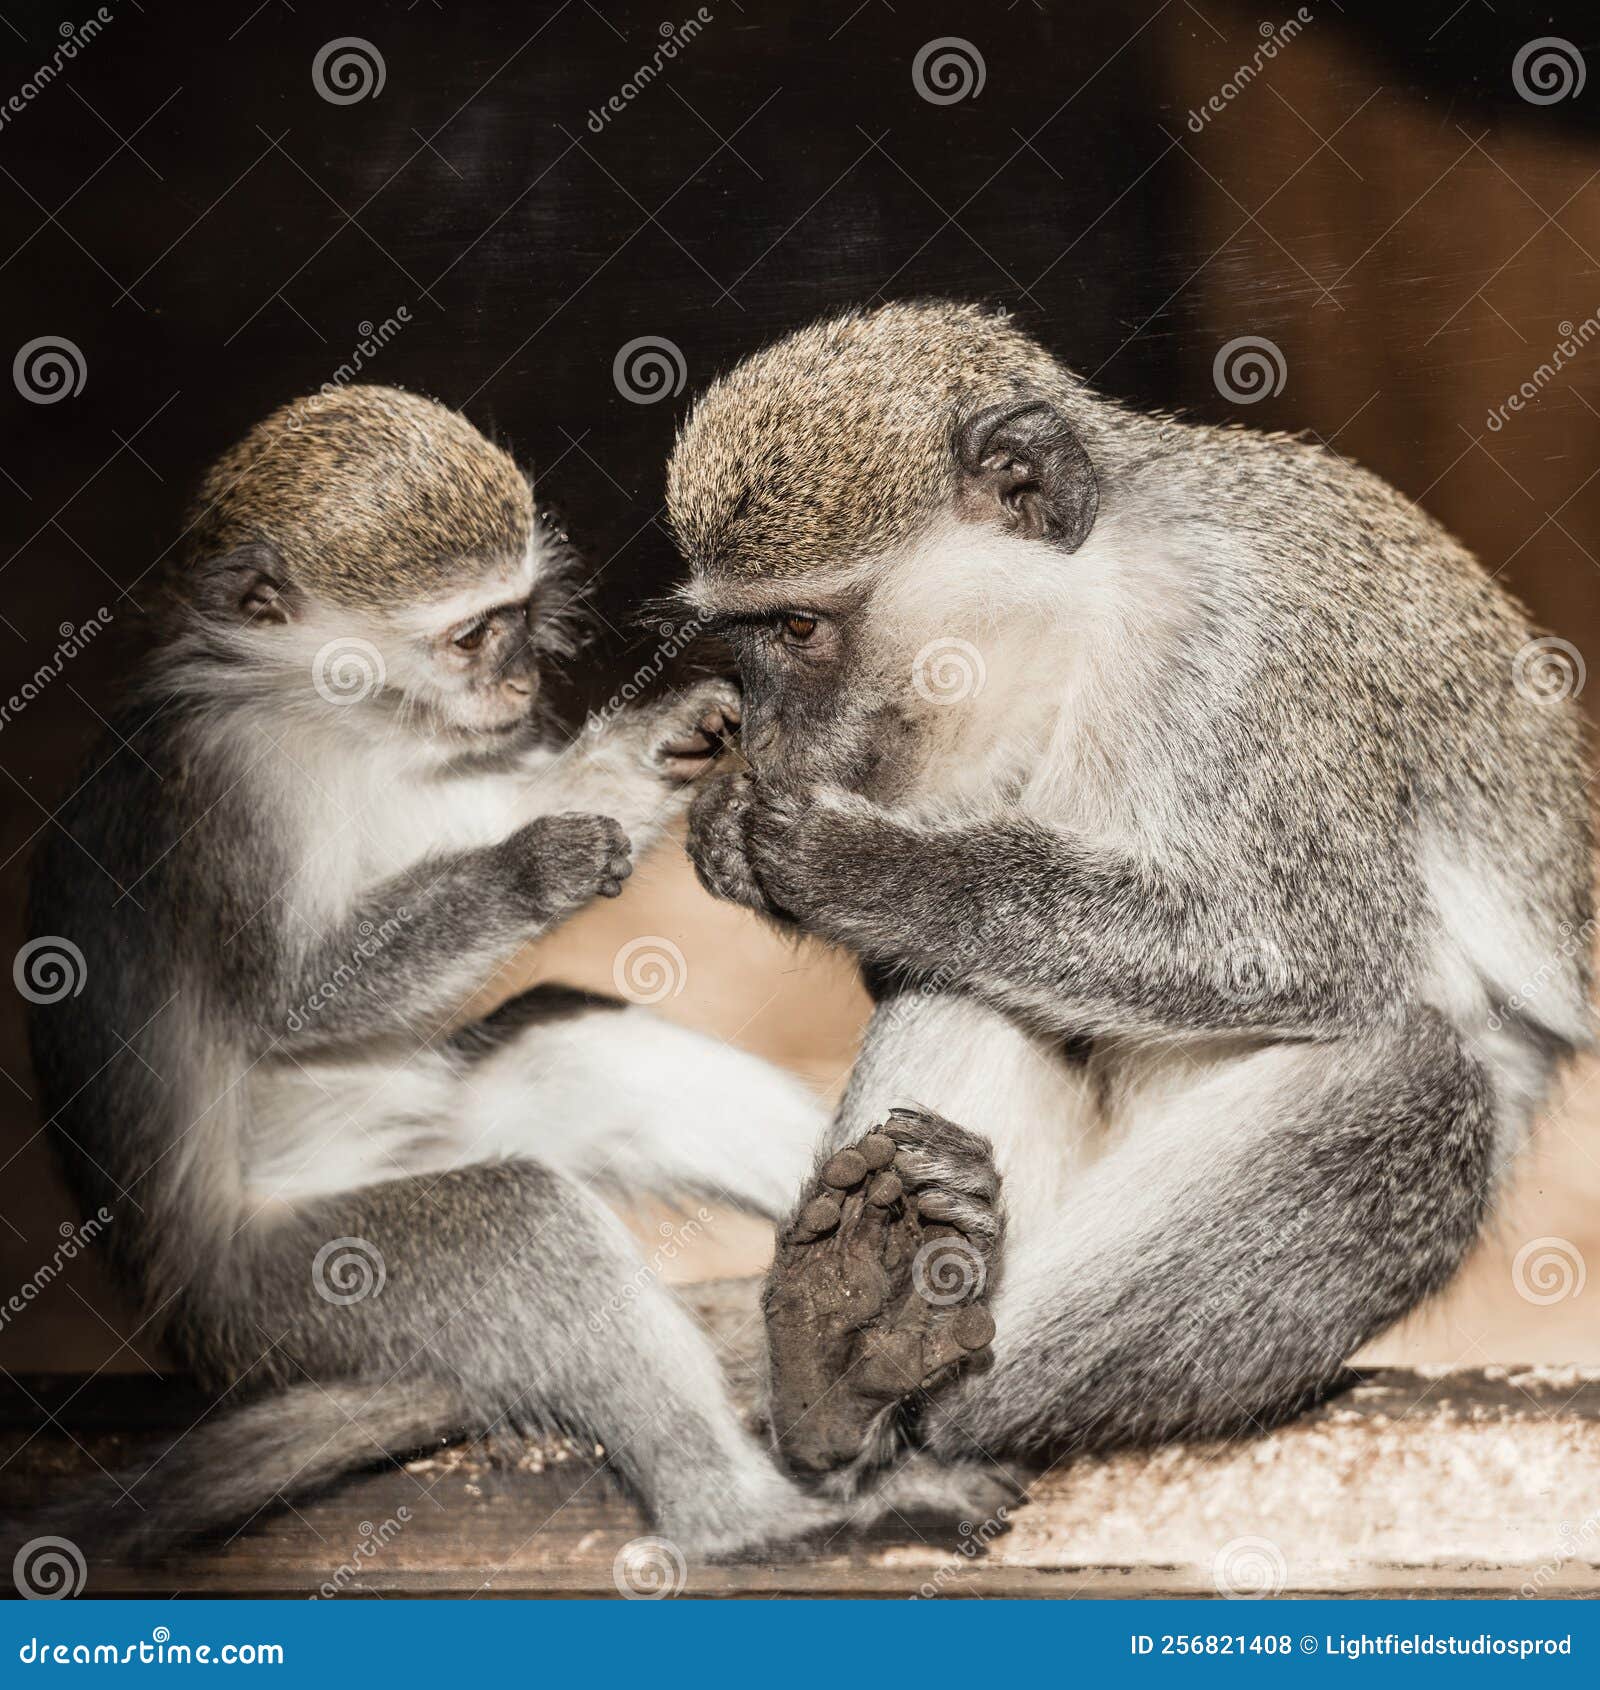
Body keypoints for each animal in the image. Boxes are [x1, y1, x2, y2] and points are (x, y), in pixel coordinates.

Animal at [21, 383, 1017, 1562]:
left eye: (518, 617)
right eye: (471, 634)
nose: (521, 678)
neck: (330, 722)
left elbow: (497, 804)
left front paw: (671, 735)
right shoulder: (223, 795)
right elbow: (291, 1005)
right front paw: (532, 870)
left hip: (445, 1122)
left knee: (590, 1052)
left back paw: (876, 1267)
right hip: (292, 1301)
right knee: (519, 1215)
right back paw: (757, 1510)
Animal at [666, 300, 1593, 1481]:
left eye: (796, 629)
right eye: (742, 640)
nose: (773, 739)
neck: (1093, 614)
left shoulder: (1249, 651)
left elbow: (1310, 947)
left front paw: (852, 866)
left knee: (1419, 1078)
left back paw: (920, 1381)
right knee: (965, 986)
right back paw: (841, 1349)